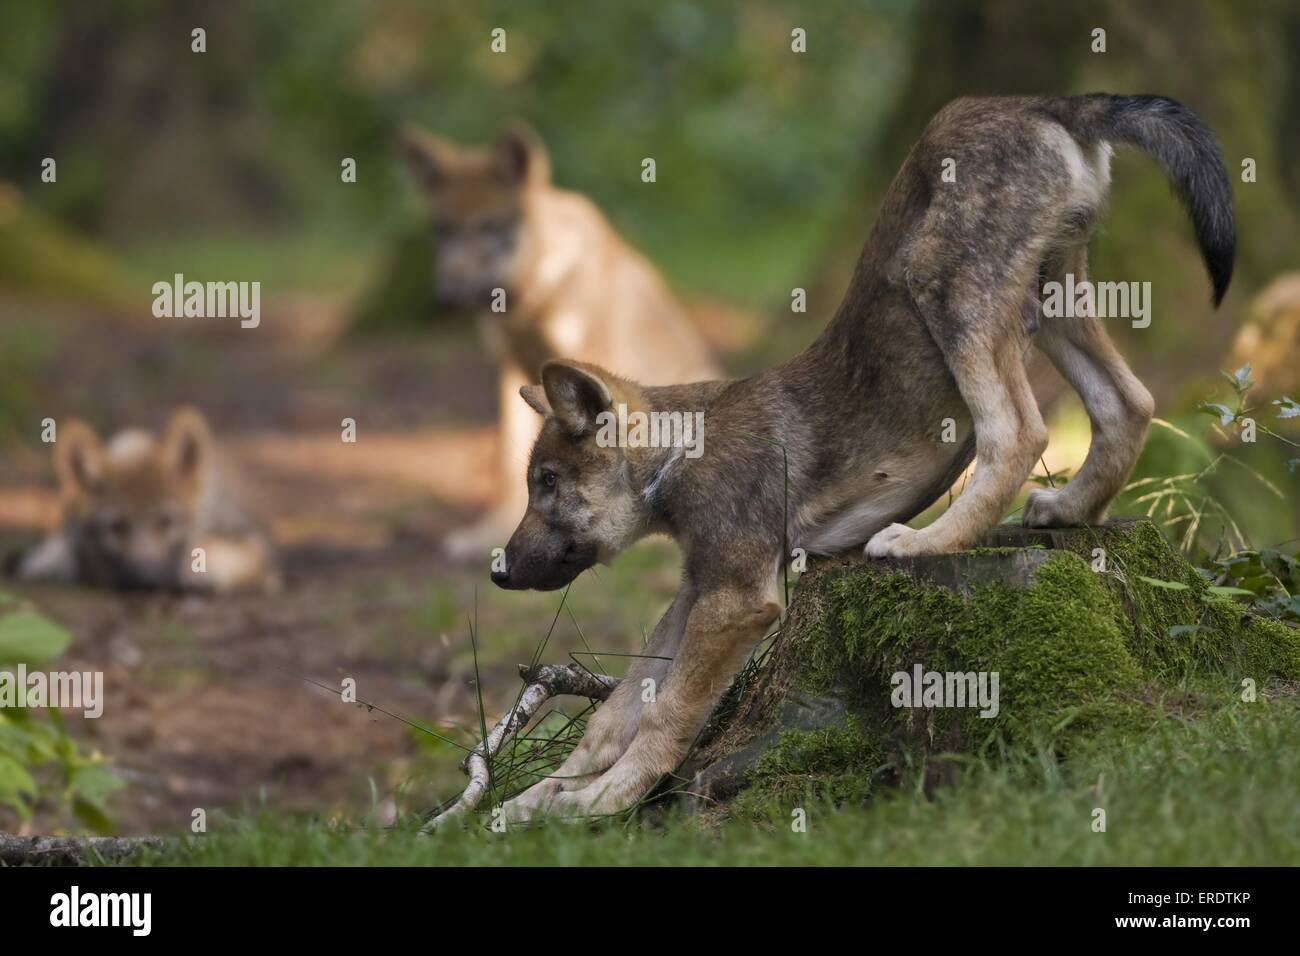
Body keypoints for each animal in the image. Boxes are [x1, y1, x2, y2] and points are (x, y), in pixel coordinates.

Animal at [400, 122, 719, 559]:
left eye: (487, 226)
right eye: (441, 228)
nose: (447, 298)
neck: (531, 297)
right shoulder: (513, 370)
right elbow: (508, 463)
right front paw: (489, 533)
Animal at [489, 94, 1234, 819]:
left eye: (547, 482)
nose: (497, 572)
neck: (683, 452)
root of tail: (1055, 104)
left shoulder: (735, 599)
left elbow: (665, 714)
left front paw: (605, 800)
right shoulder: (696, 591)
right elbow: (612, 716)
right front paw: (534, 798)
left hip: (945, 284)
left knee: (1019, 432)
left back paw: (929, 541)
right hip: (1054, 288)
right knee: (1126, 400)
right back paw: (1068, 508)